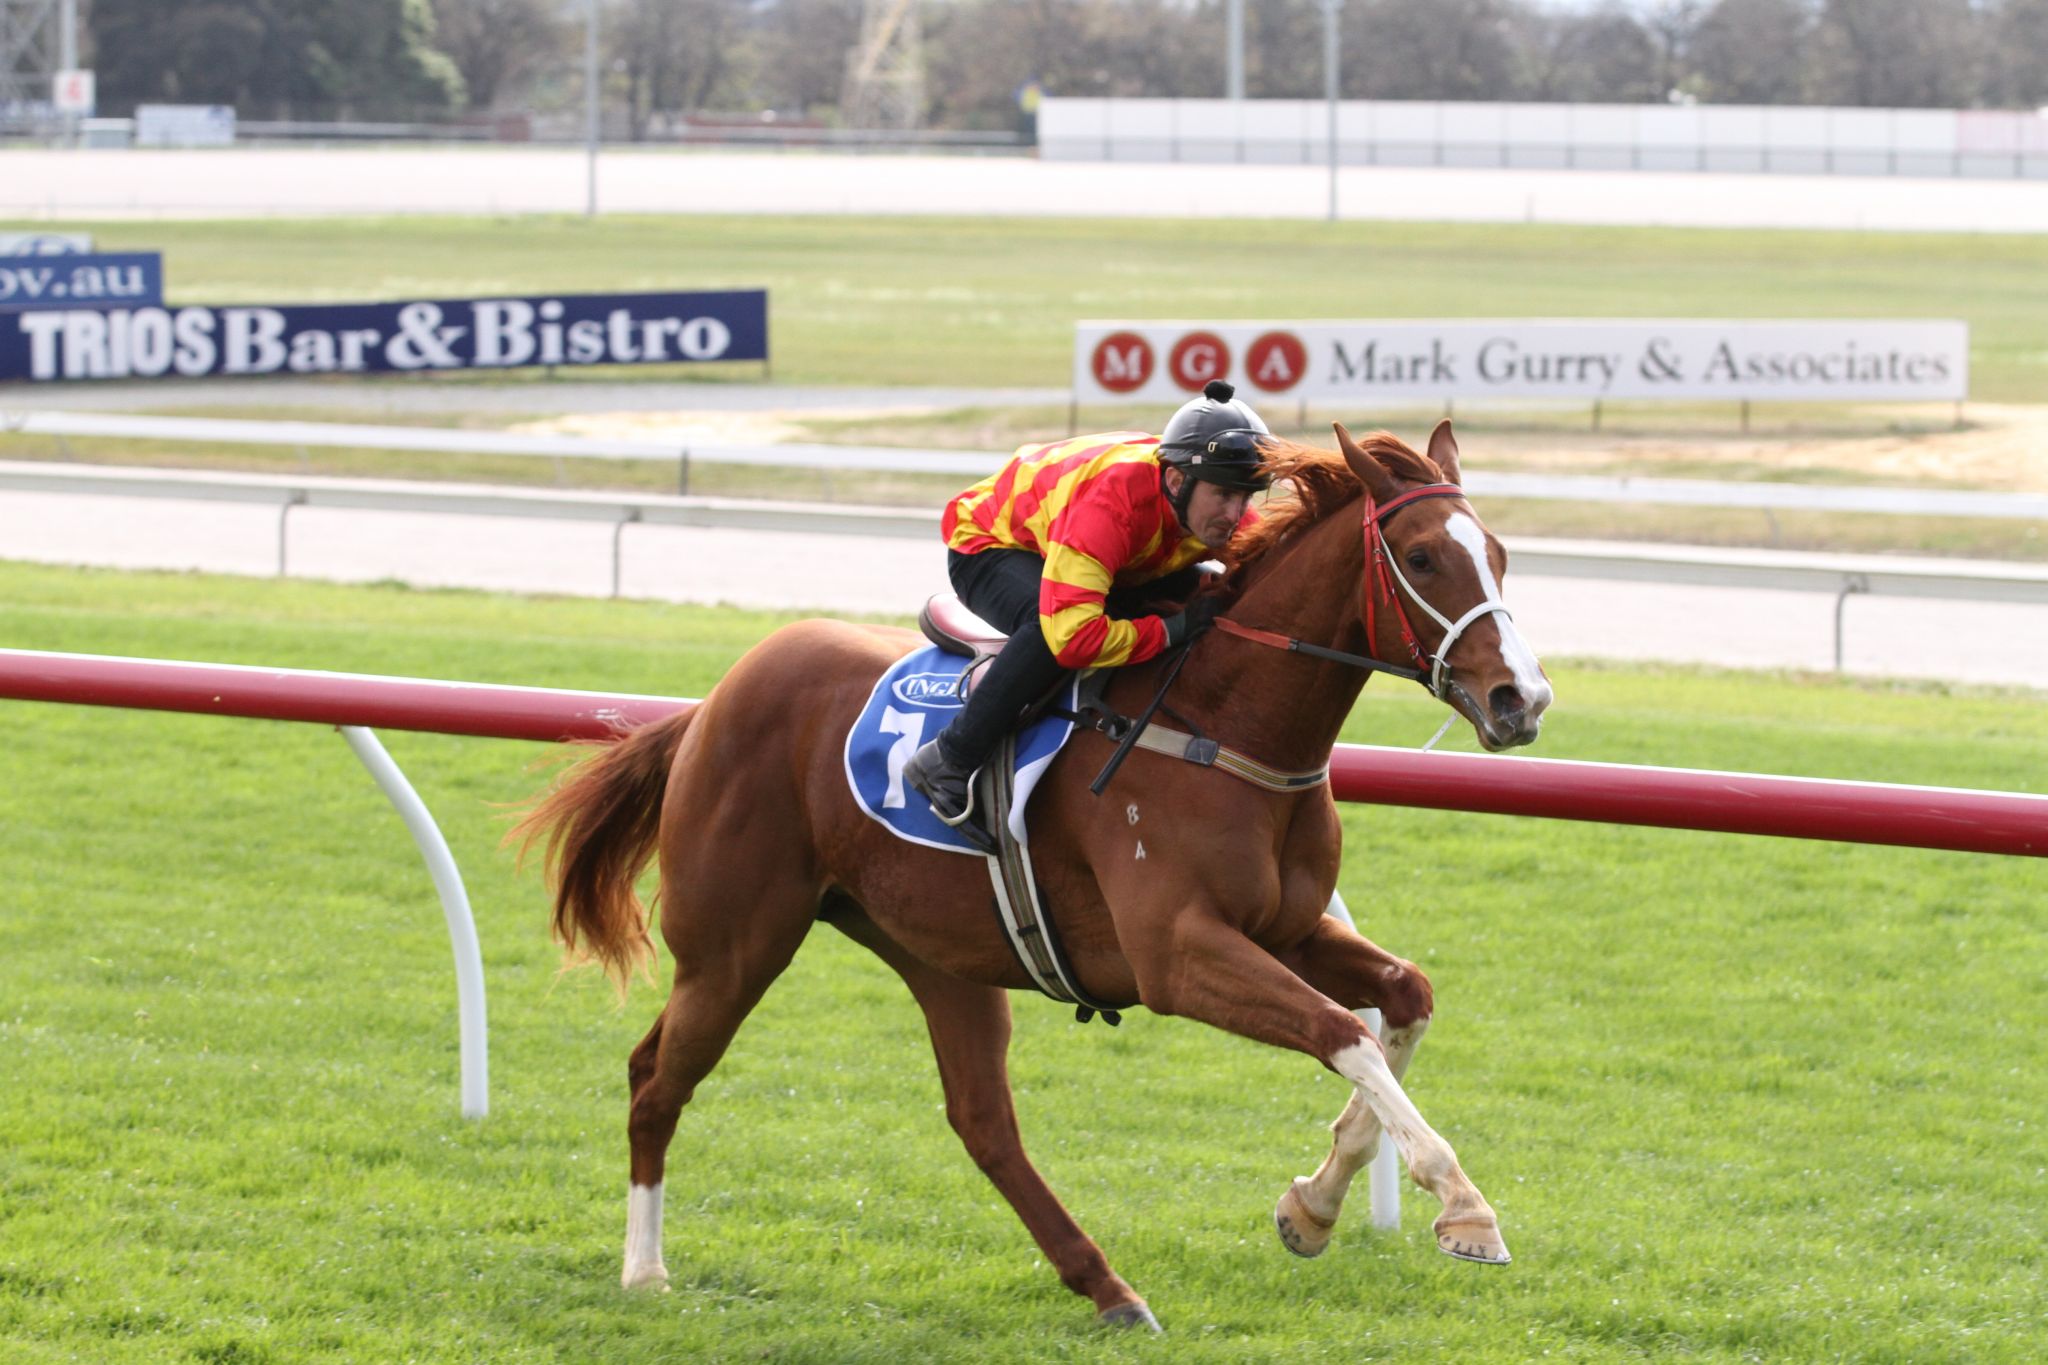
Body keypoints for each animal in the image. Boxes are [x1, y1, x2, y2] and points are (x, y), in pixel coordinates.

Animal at [514, 420, 1553, 1329]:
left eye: (1499, 553)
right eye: (1422, 557)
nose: (1522, 699)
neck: (1223, 725)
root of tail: (709, 703)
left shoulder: (1287, 930)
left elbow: (1402, 998)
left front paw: (1313, 1205)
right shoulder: (1177, 954)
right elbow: (1345, 1031)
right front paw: (1462, 1206)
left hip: (942, 955)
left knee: (983, 1123)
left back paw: (1109, 1288)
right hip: (735, 945)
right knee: (657, 1077)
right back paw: (645, 1269)